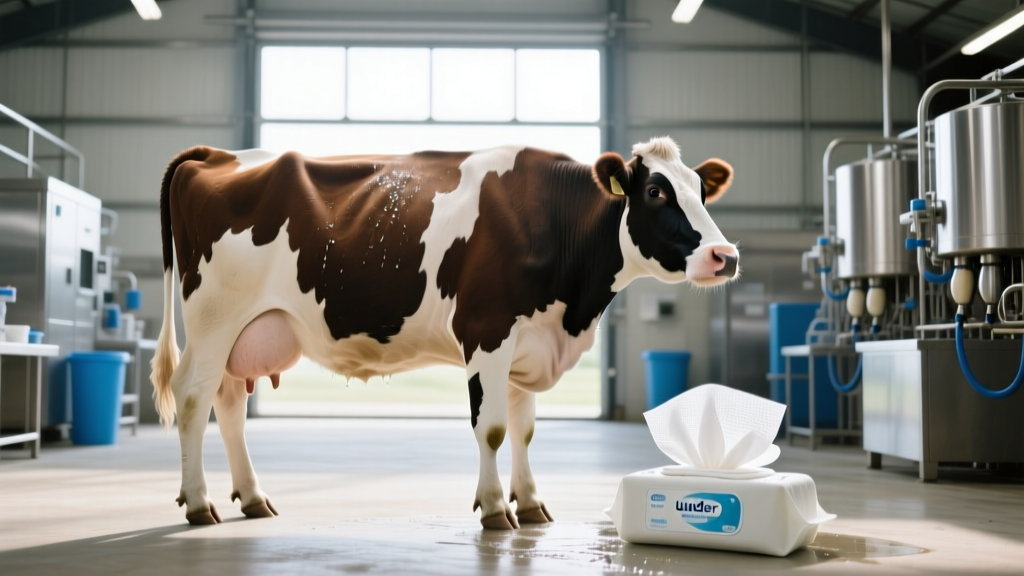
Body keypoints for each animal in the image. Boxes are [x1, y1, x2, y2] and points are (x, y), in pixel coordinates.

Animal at [151, 136, 738, 529]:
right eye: (656, 192)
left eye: (700, 191)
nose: (724, 255)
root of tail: (216, 154)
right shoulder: (487, 331)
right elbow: (493, 429)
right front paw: (496, 508)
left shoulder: (528, 342)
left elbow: (523, 429)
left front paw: (531, 503)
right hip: (213, 317)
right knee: (192, 398)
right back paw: (199, 504)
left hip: (244, 328)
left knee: (227, 403)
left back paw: (252, 498)